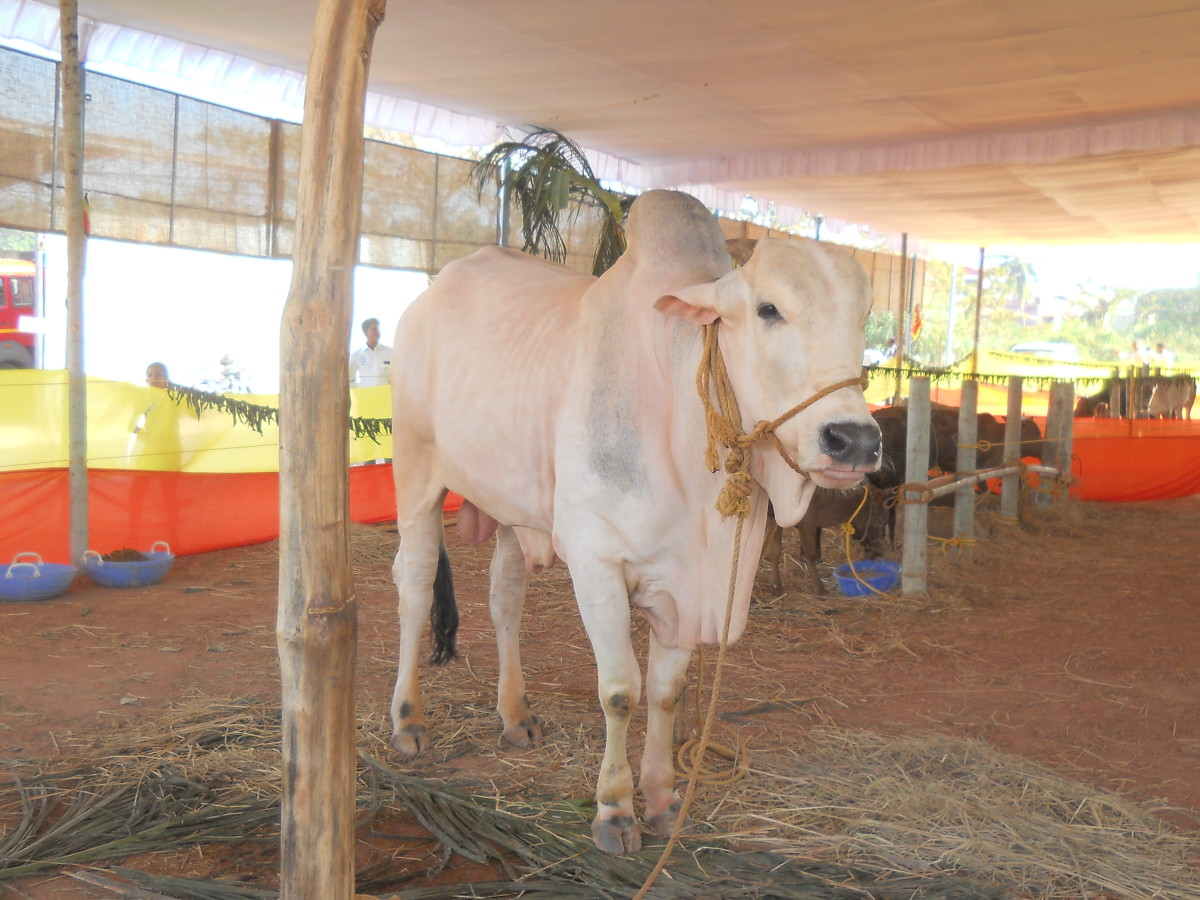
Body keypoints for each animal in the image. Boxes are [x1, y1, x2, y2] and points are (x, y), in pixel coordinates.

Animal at [387, 190, 881, 854]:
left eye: (864, 319)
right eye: (768, 309)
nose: (853, 440)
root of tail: (430, 296)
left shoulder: (687, 586)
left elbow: (667, 693)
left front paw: (664, 800)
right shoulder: (596, 562)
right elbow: (621, 691)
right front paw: (615, 809)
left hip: (512, 508)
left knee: (504, 599)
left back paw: (515, 715)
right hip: (415, 471)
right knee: (414, 589)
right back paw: (408, 720)